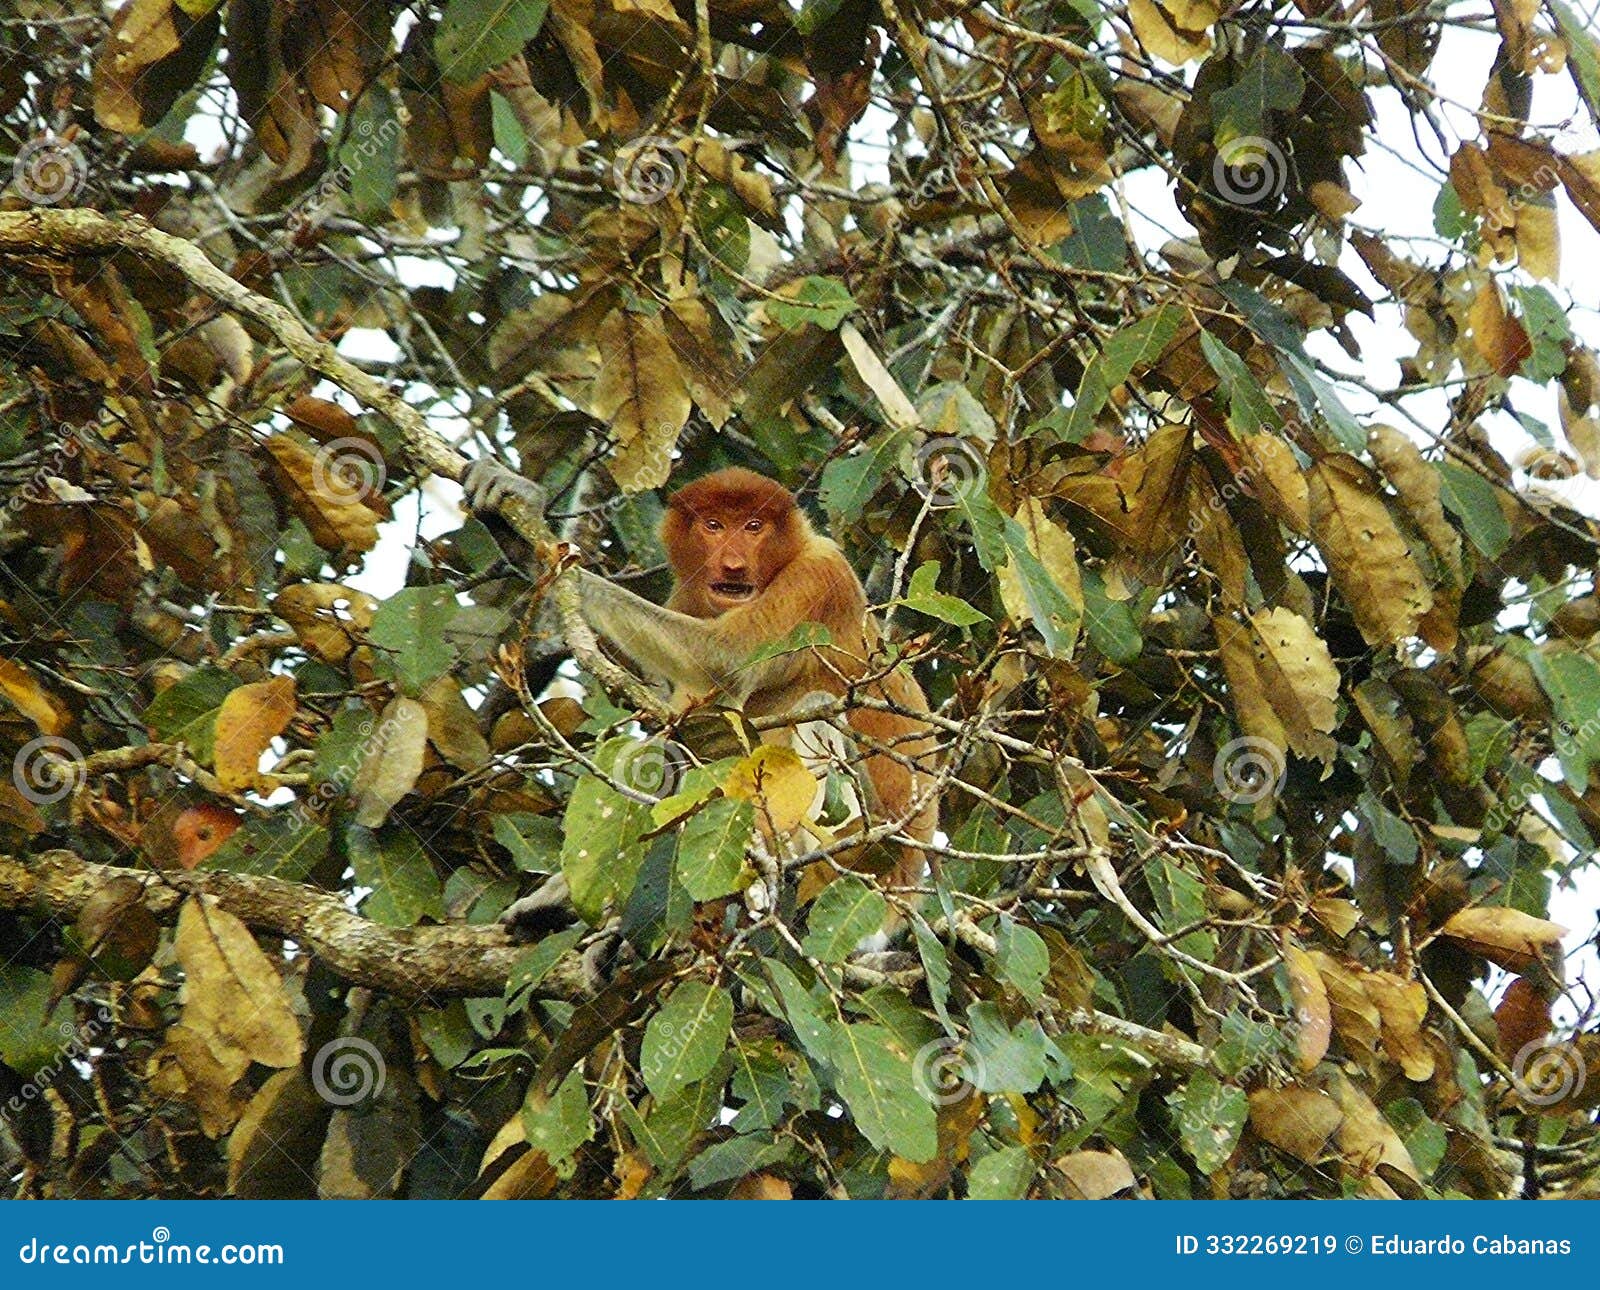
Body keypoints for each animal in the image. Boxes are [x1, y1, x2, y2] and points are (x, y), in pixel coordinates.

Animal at [463, 460, 938, 940]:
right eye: (714, 525)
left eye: (753, 527)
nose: (732, 564)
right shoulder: (689, 596)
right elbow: (684, 717)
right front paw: (511, 529)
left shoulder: (818, 576)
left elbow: (724, 660)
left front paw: (558, 565)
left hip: (872, 854)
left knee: (816, 711)